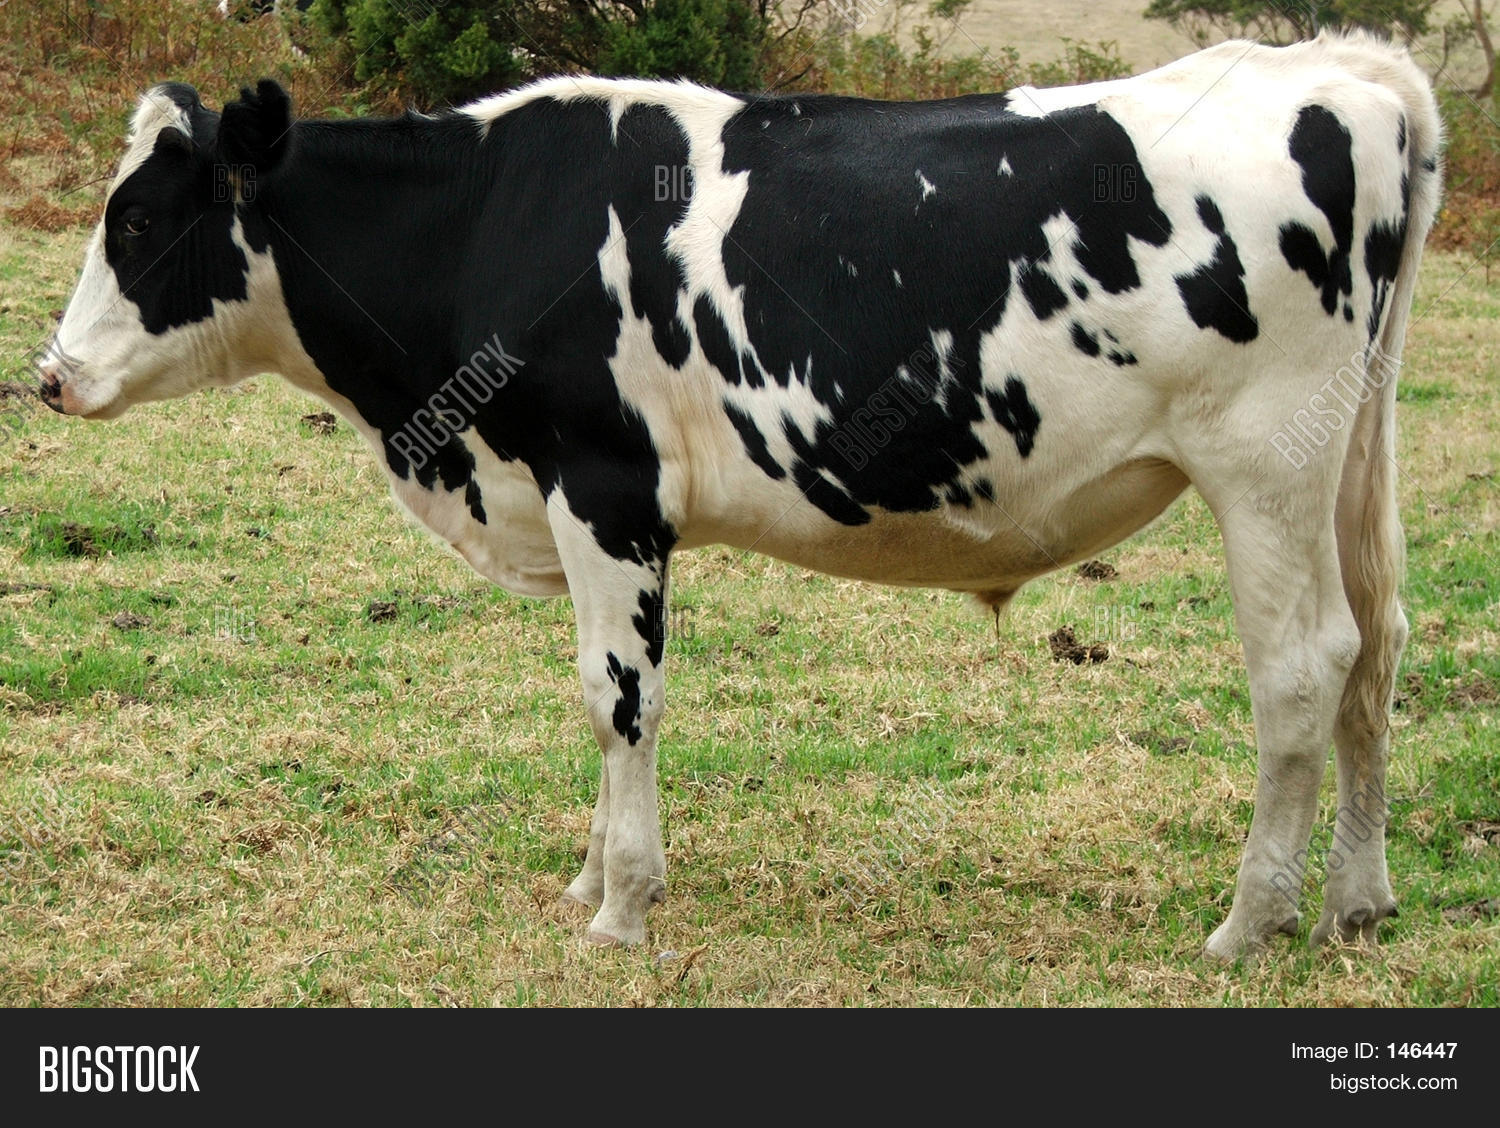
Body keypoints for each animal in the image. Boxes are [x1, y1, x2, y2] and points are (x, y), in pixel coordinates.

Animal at [37, 31, 1441, 958]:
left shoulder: (605, 486)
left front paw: (619, 909)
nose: (48, 375)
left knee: (1305, 668)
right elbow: (598, 698)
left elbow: (620, 698)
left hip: (1263, 464)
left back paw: (1249, 922)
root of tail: (1341, 69)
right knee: (1379, 648)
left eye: (142, 222)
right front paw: (589, 879)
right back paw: (1357, 900)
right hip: (1350, 458)